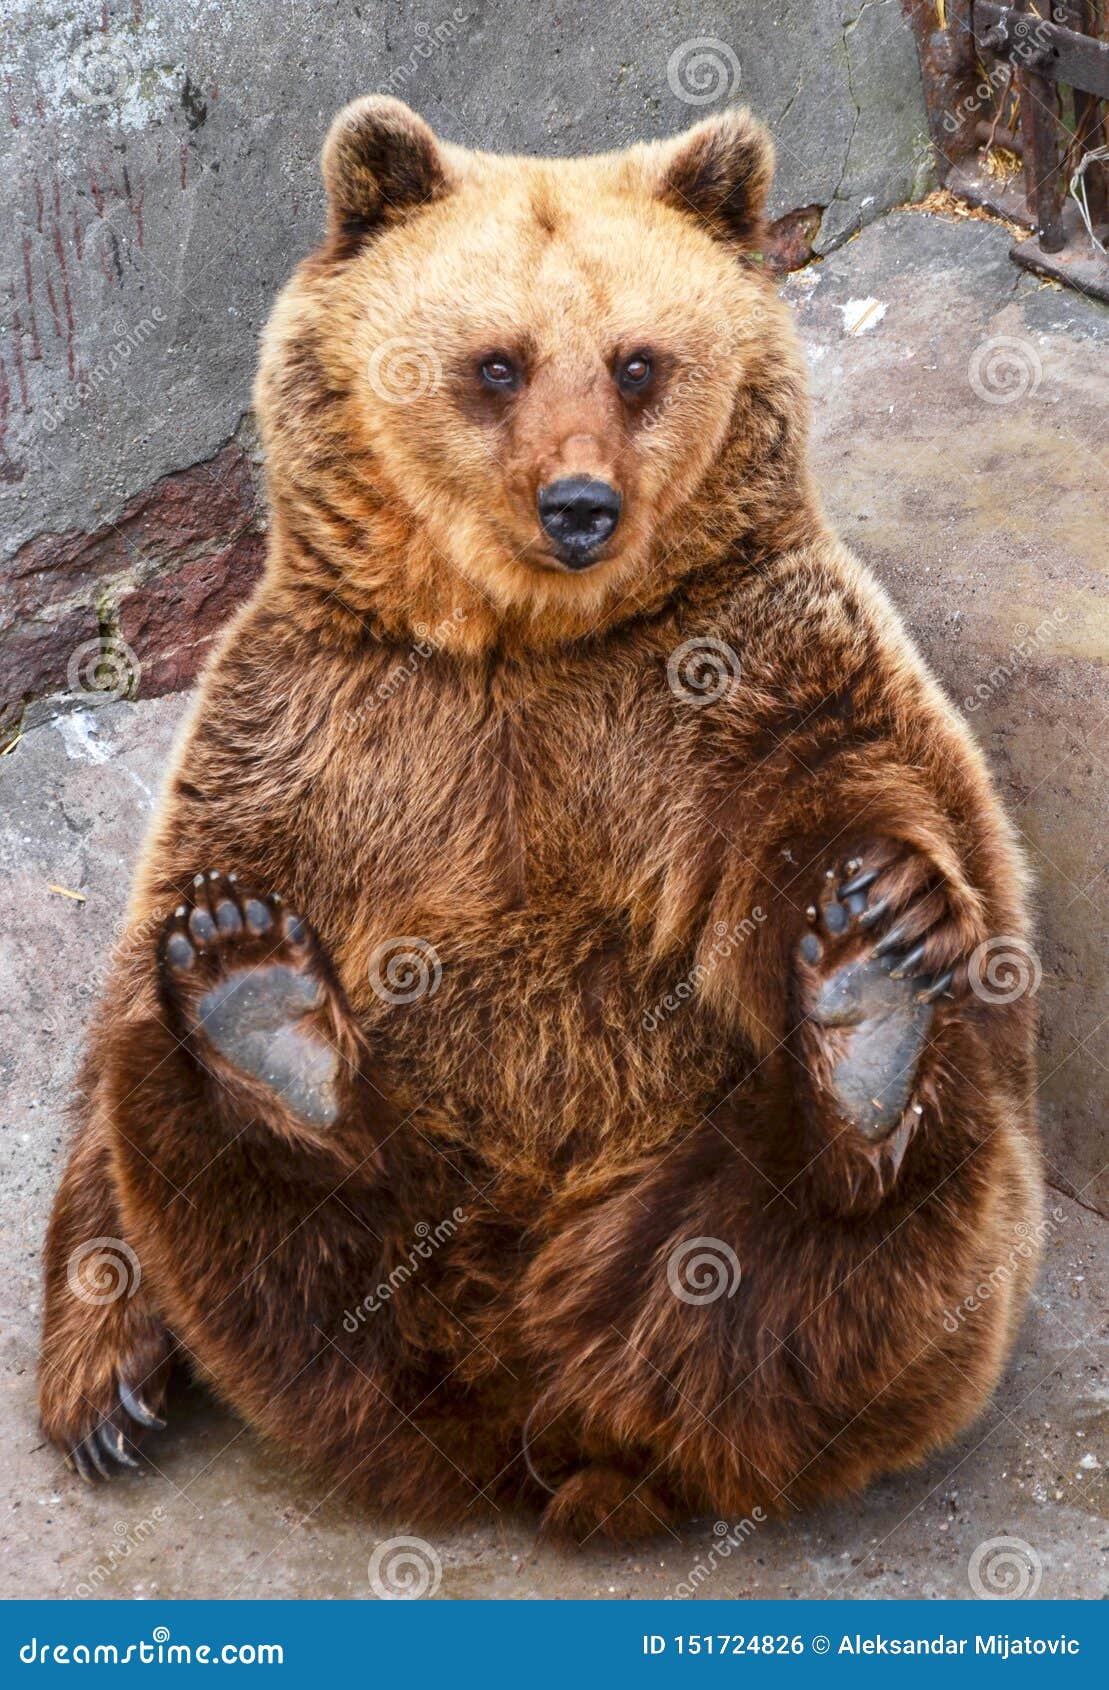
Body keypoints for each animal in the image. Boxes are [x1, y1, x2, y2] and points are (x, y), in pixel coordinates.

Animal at [39, 96, 1043, 1544]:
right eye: (496, 365)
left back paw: (865, 1043)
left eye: (636, 364)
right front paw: (100, 1379)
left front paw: (884, 919)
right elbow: (145, 966)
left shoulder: (737, 674)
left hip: (704, 1233)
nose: (580, 504)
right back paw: (257, 1010)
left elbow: (856, 803)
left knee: (843, 1244)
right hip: (379, 1293)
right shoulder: (307, 738)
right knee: (181, 1102)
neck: (523, 638)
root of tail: (538, 1415)